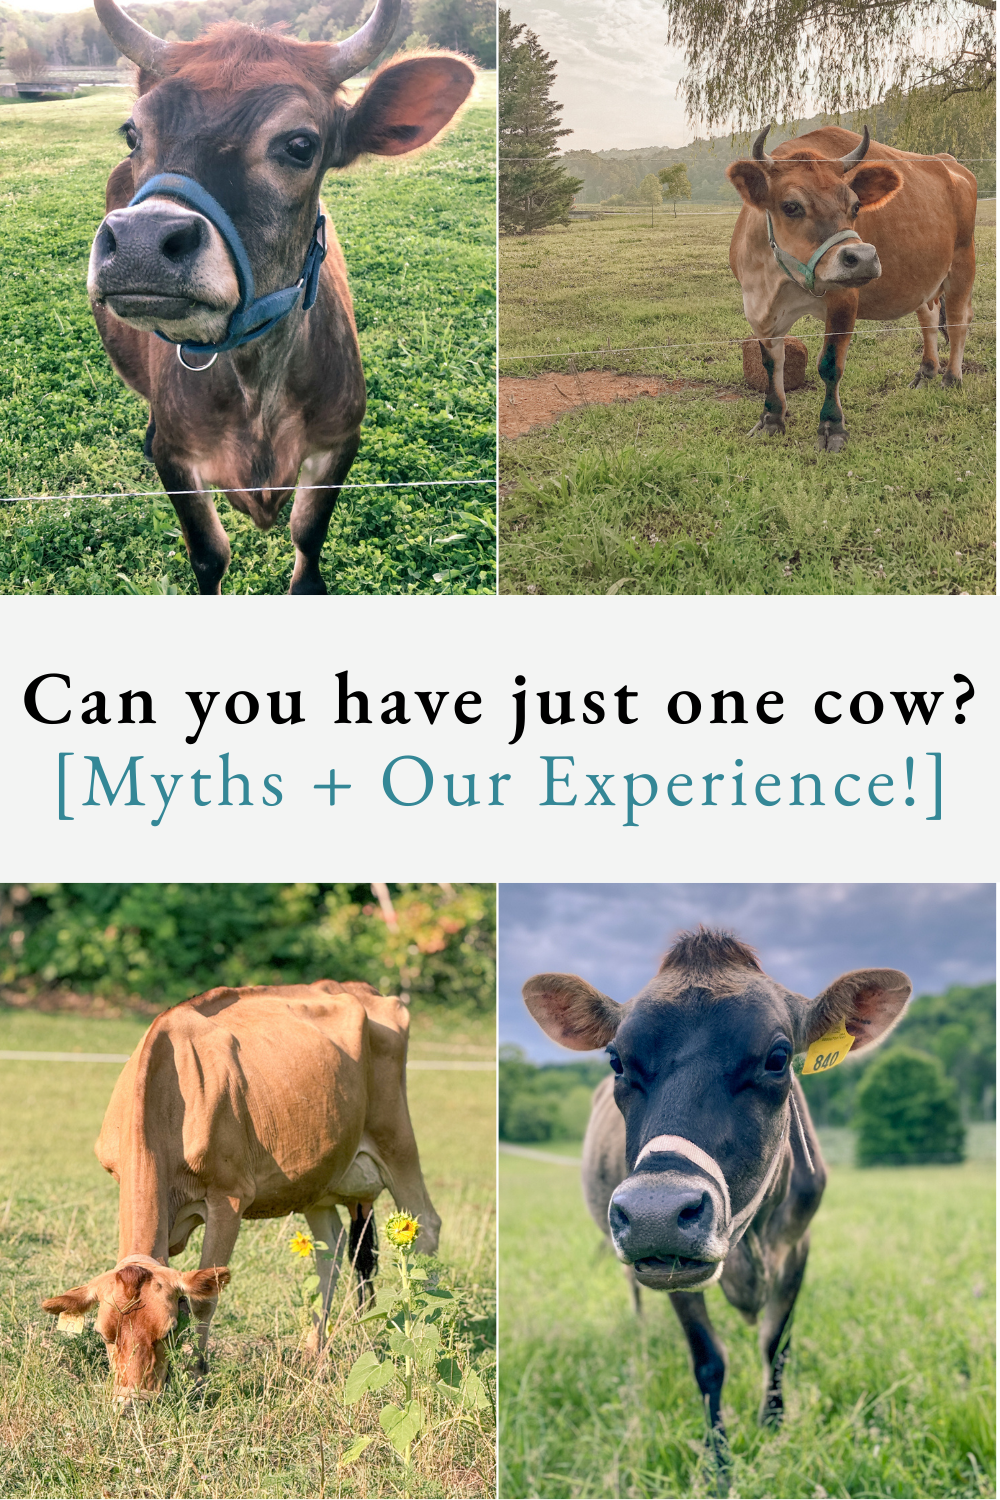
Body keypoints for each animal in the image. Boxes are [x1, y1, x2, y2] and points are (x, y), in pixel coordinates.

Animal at [42, 980, 441, 1398]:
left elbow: (205, 1298)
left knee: (427, 1225)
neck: (172, 1095)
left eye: (166, 1331)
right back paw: (312, 1353)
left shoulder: (228, 1198)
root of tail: (360, 989)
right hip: (319, 1178)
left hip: (396, 1139)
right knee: (329, 1254)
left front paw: (197, 1374)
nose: (131, 1402)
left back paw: (428, 1343)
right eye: (104, 1334)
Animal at [86, 0, 474, 593]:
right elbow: (209, 554)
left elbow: (308, 537)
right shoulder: (178, 460)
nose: (141, 242)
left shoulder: (341, 440)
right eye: (133, 133)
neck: (258, 388)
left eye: (299, 145)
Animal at [522, 928, 911, 1469]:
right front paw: (720, 1463)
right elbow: (709, 1362)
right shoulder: (670, 1265)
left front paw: (773, 1429)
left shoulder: (799, 1245)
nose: (655, 1212)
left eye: (778, 1058)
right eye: (617, 1061)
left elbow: (777, 1344)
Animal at [727, 125, 977, 451]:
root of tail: (951, 163)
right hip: (925, 278)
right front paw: (771, 419)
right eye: (791, 206)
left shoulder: (844, 300)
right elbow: (771, 363)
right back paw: (926, 373)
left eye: (856, 206)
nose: (863, 259)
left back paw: (951, 378)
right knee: (930, 318)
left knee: (959, 321)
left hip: (962, 262)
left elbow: (830, 365)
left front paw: (832, 427)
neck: (778, 282)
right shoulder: (758, 307)